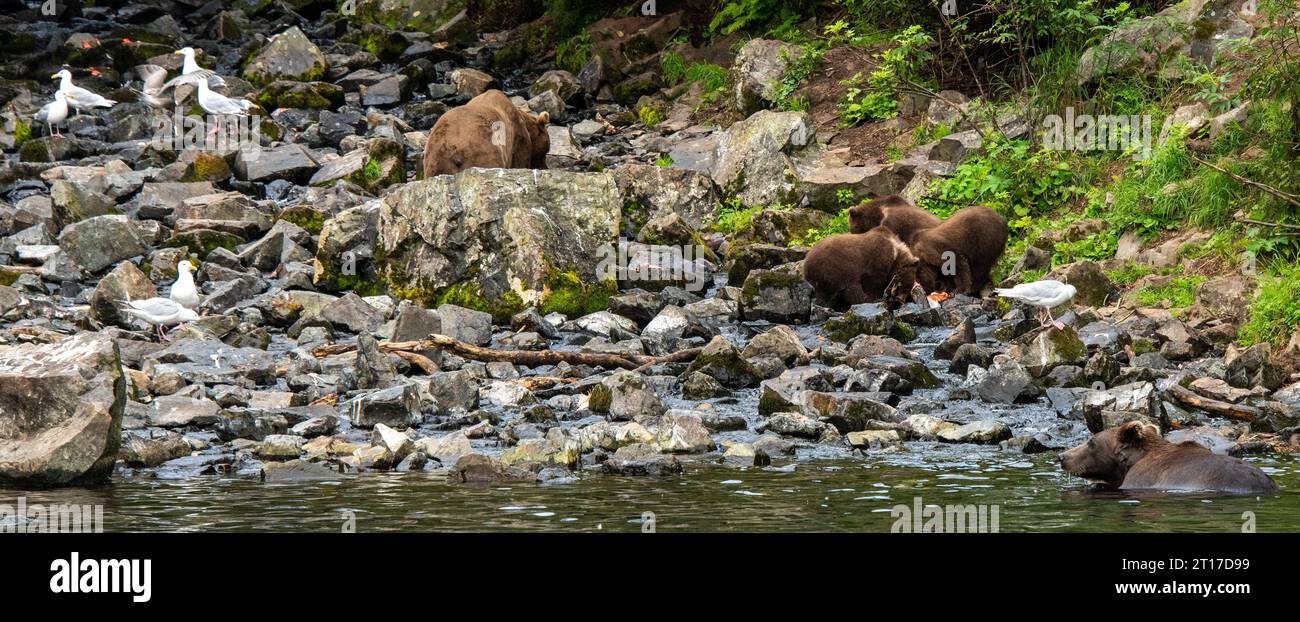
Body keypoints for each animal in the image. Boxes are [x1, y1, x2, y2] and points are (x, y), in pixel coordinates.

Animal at [421, 89, 550, 177]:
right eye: (545, 152)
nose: (545, 168)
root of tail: (455, 151)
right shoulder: (517, 139)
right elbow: (520, 162)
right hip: (482, 154)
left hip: (436, 162)